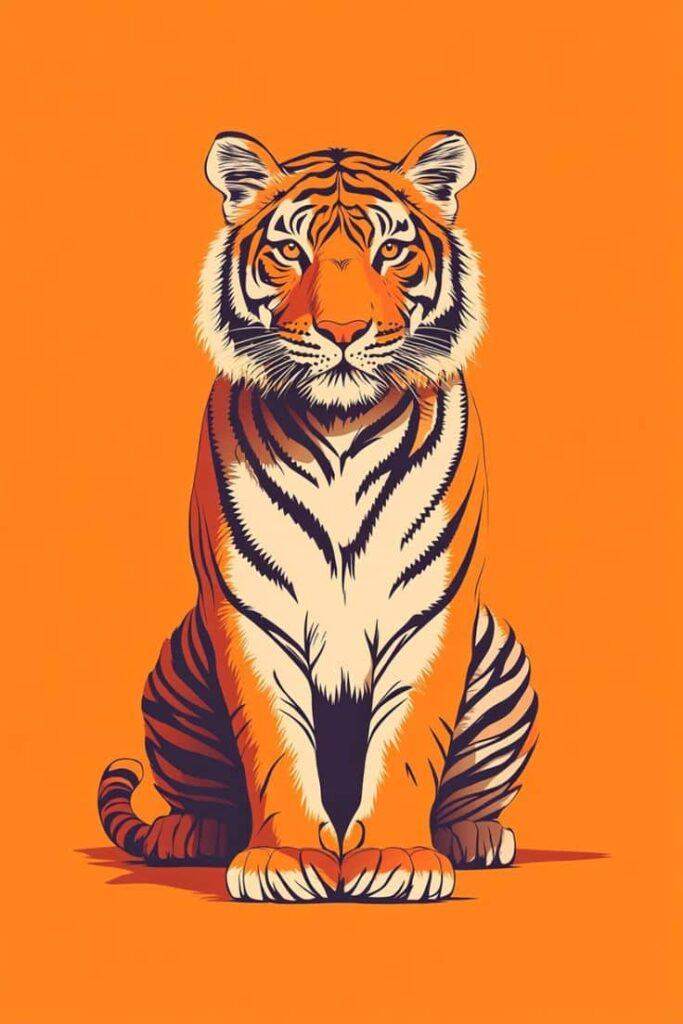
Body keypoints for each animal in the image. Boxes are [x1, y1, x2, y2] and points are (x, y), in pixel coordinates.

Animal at [98, 130, 538, 902]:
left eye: (390, 250)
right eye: (289, 250)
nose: (341, 330)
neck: (341, 427)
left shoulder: (427, 613)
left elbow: (408, 743)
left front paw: (398, 859)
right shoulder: (253, 614)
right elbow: (273, 744)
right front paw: (284, 861)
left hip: (499, 658)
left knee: (471, 798)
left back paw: (473, 838)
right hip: (178, 669)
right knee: (203, 798)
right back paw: (190, 834)